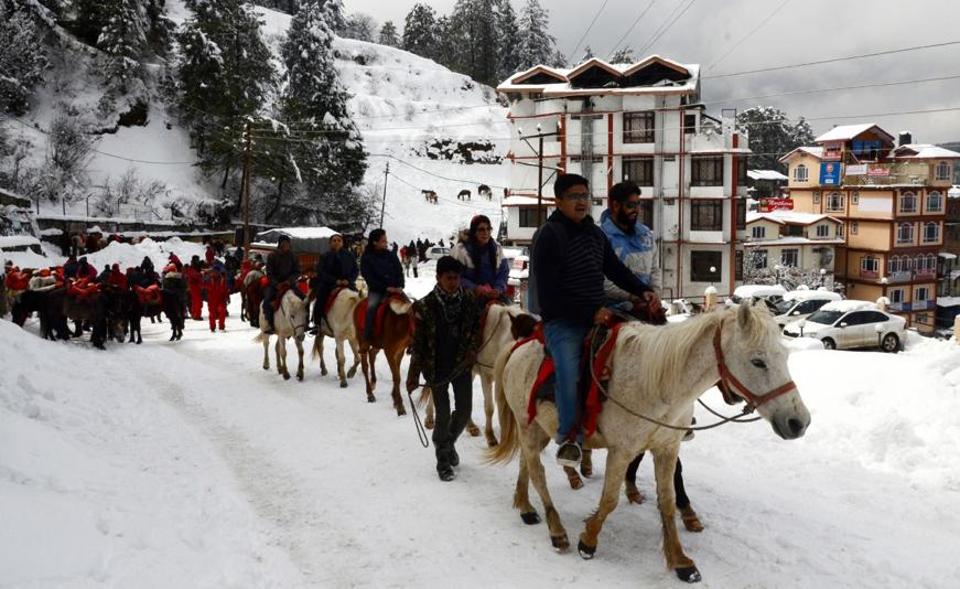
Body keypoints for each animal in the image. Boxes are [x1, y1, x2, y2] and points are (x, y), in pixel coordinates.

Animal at [486, 302, 811, 583]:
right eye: (758, 361)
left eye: (784, 356)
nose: (799, 422)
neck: (659, 384)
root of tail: (517, 348)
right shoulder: (621, 451)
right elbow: (609, 499)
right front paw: (588, 540)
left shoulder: (666, 449)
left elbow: (667, 501)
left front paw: (680, 560)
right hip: (528, 426)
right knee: (537, 472)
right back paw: (556, 530)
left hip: (539, 430)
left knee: (526, 463)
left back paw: (526, 507)